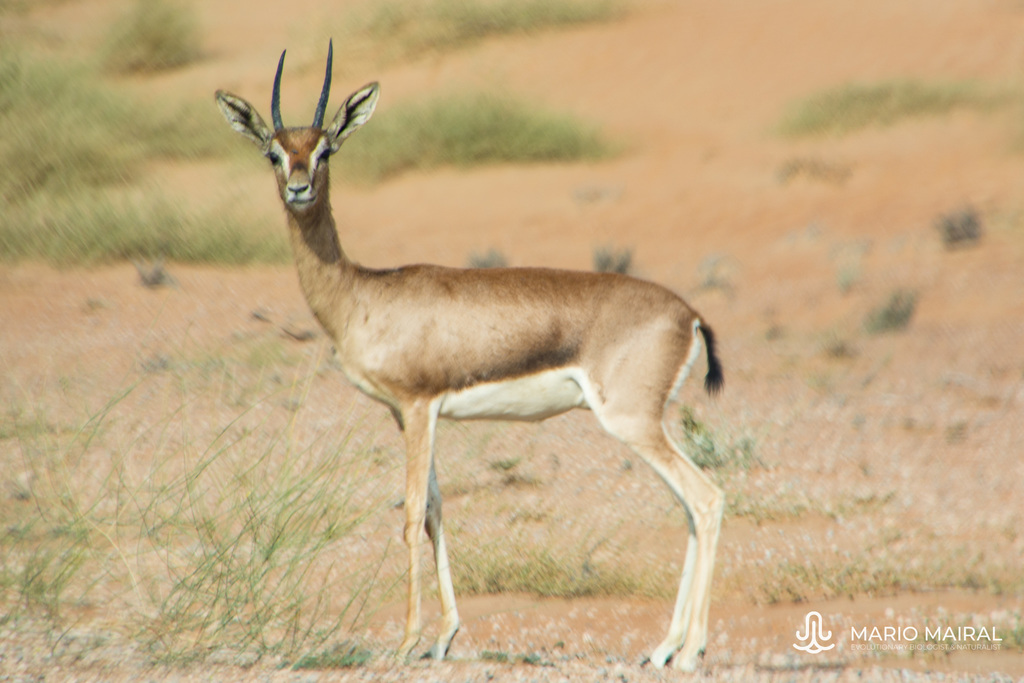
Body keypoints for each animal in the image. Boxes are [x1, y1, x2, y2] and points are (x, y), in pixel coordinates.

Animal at [215, 41, 725, 671]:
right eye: (274, 152)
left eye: (326, 148)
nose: (299, 189)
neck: (364, 293)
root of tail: (689, 313)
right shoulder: (408, 414)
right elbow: (435, 510)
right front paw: (443, 636)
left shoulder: (417, 407)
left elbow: (412, 514)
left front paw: (407, 640)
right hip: (647, 426)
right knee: (689, 507)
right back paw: (665, 648)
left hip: (630, 422)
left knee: (706, 499)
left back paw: (689, 650)